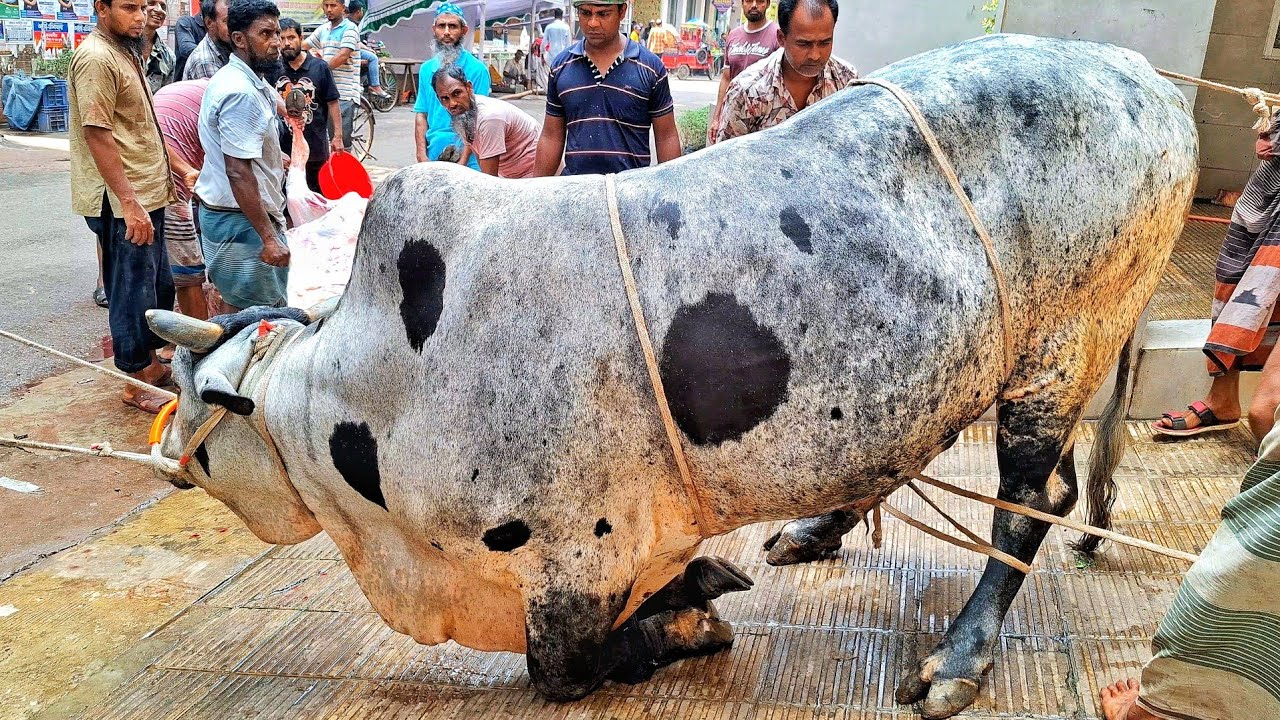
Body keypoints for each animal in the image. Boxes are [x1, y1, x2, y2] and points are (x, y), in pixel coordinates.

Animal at [143, 34, 1197, 719]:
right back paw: (817, 529)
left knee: (1025, 505)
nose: (169, 468)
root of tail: (1144, 77)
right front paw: (700, 590)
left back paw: (957, 660)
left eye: (195, 414)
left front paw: (689, 622)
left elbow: (566, 668)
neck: (365, 398)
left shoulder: (571, 559)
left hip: (1064, 346)